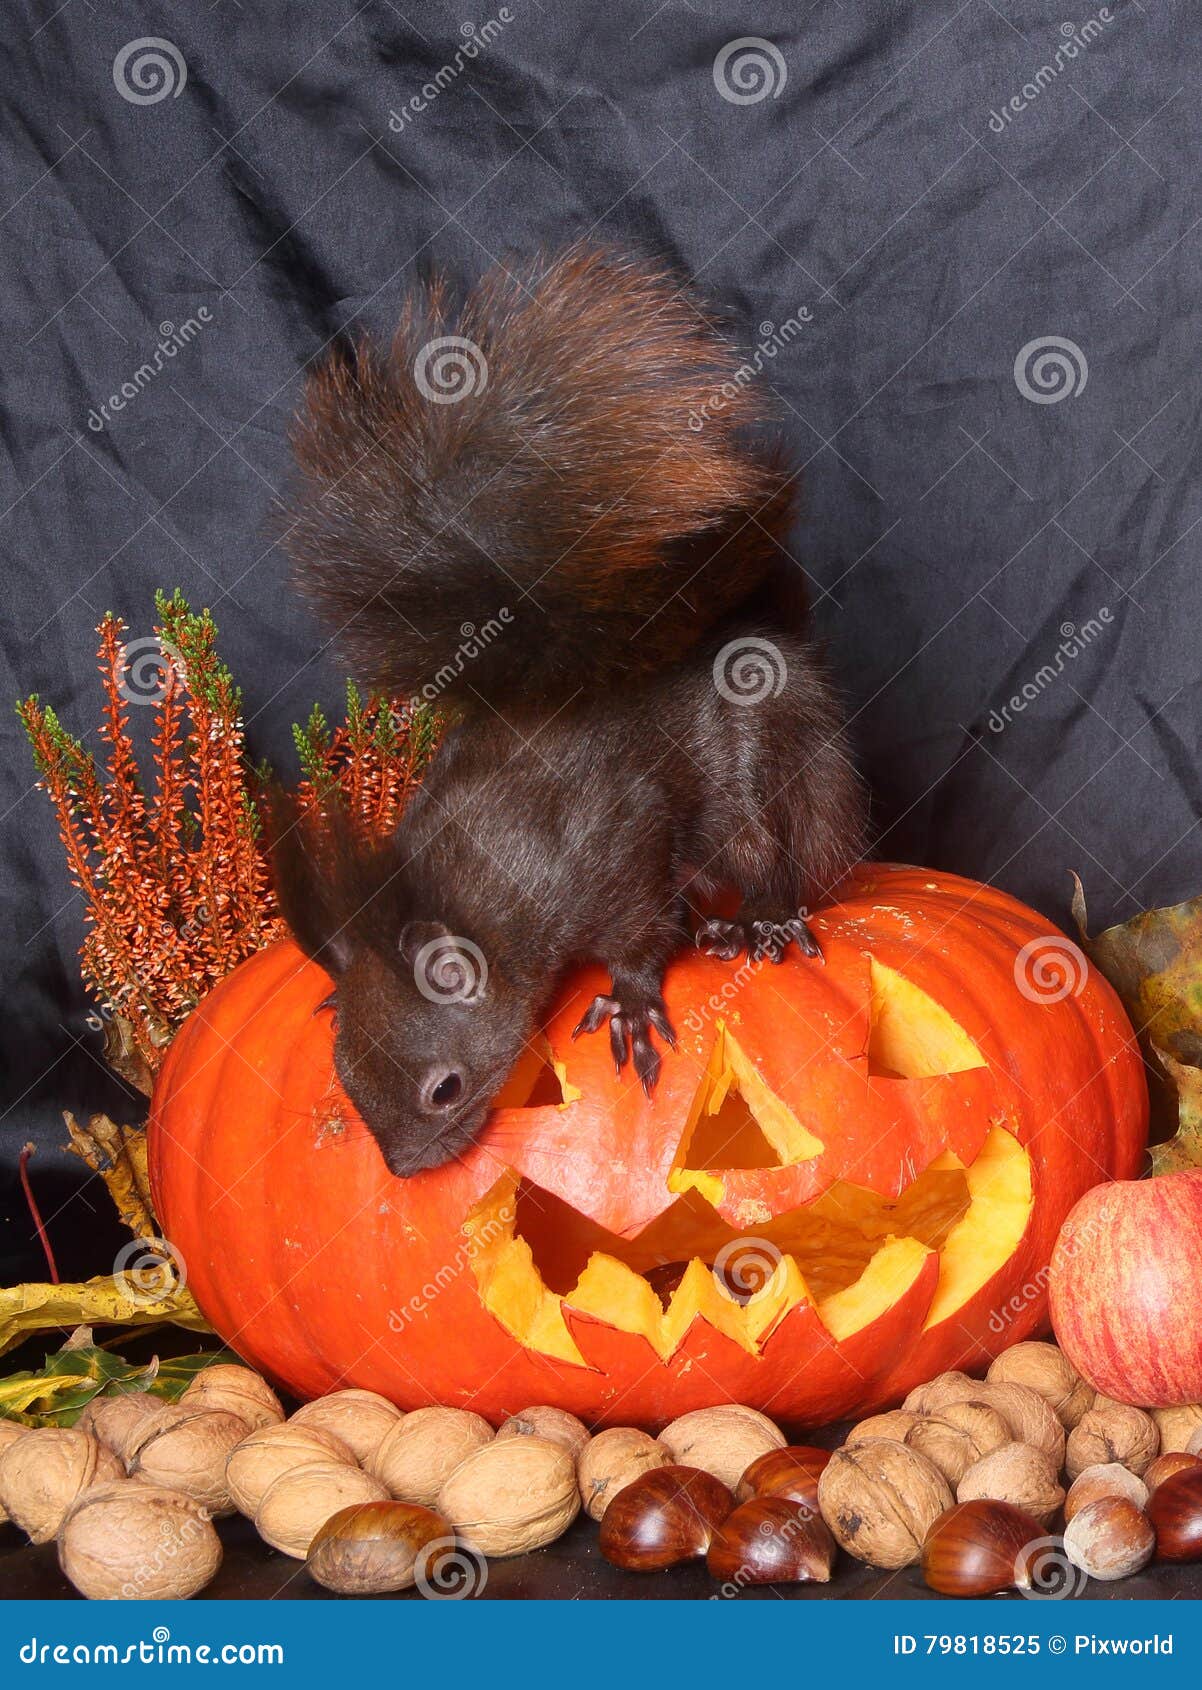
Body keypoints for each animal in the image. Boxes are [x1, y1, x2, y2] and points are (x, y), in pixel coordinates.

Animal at [271, 246, 866, 1177]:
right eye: (344, 1077)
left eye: (444, 1089)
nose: (404, 1170)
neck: (465, 887)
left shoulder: (609, 853)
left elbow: (640, 929)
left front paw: (630, 1002)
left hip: (755, 767)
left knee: (768, 847)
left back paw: (760, 918)